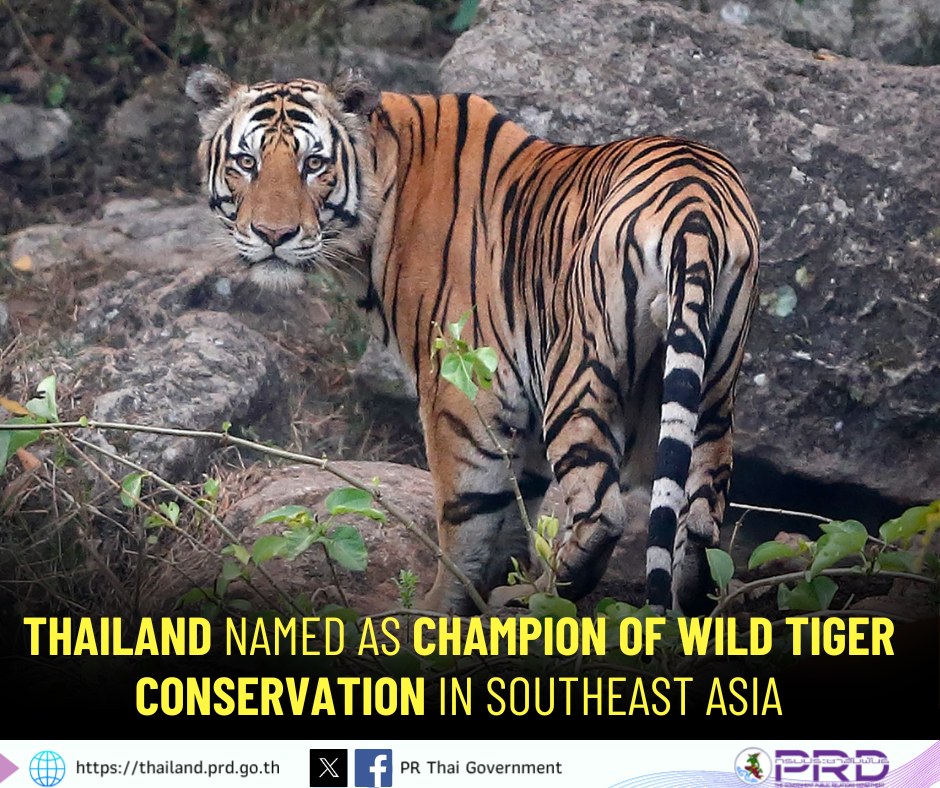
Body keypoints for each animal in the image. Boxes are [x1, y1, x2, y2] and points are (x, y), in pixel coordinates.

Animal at [186, 65, 760, 616]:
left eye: (313, 164)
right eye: (245, 162)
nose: (273, 235)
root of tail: (695, 205)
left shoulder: (460, 386)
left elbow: (467, 510)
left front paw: (441, 605)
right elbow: (519, 498)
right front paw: (499, 579)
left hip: (580, 372)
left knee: (604, 512)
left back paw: (543, 595)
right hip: (712, 380)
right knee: (701, 516)